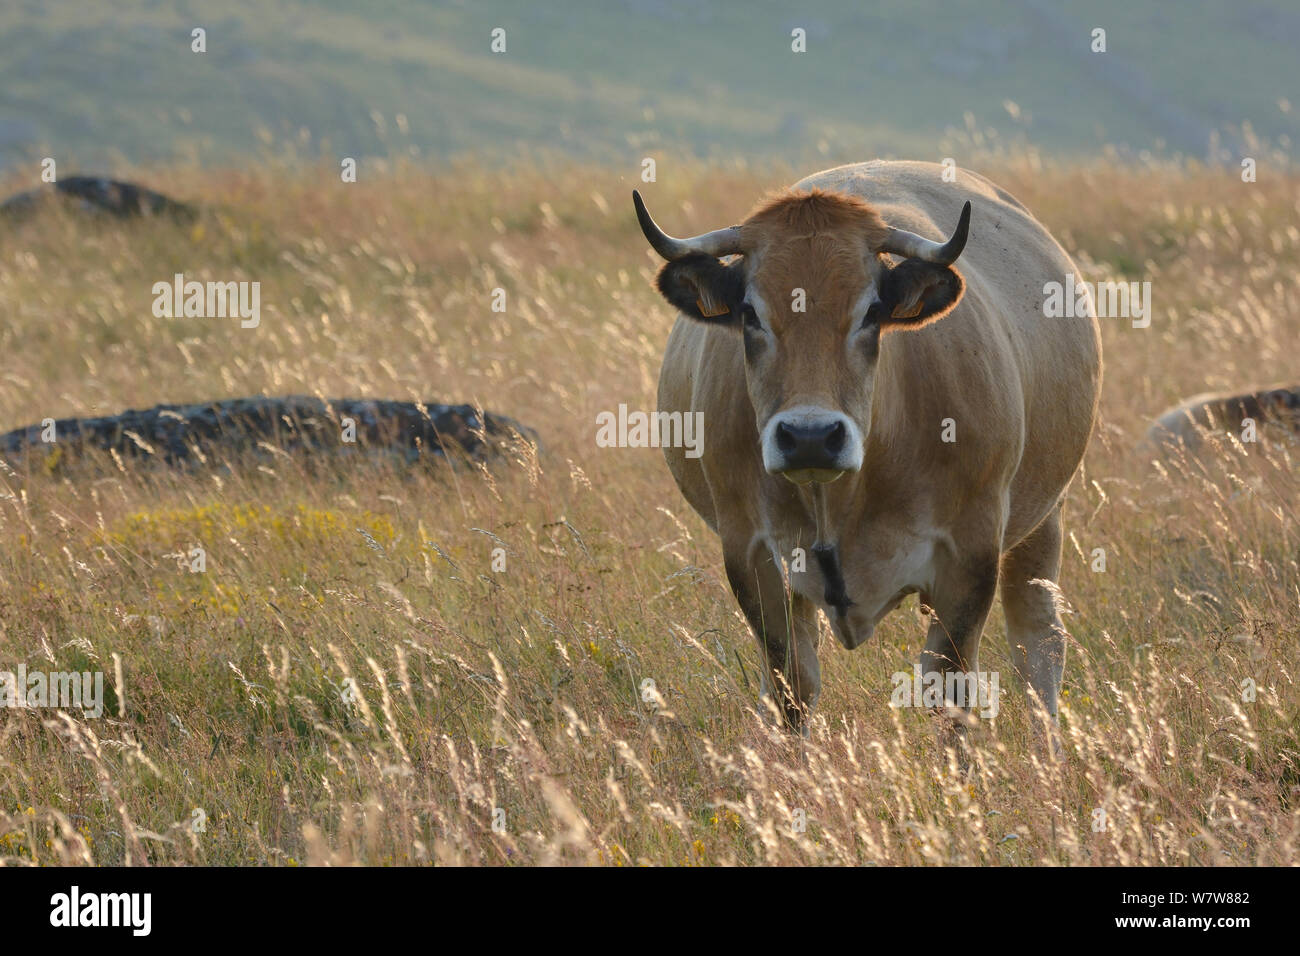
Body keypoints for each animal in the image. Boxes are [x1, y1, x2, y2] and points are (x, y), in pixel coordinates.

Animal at [634, 161, 1102, 738]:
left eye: (870, 312)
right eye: (750, 313)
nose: (810, 436)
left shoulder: (971, 558)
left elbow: (951, 692)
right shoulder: (749, 554)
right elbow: (792, 687)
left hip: (1044, 522)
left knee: (1038, 647)